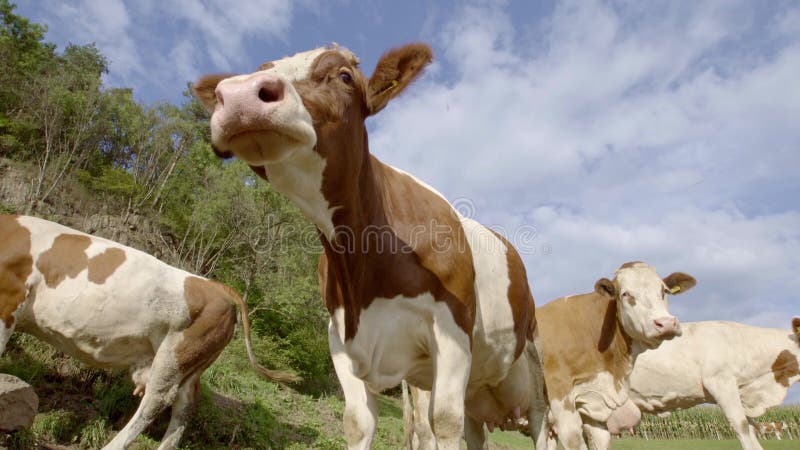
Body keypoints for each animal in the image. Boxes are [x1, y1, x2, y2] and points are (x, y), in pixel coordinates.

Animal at [0, 214, 297, 450]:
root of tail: (218, 287)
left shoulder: (9, 297)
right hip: (191, 360)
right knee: (184, 405)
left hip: (174, 354)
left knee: (157, 400)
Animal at [192, 43, 546, 449]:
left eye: (345, 76)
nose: (239, 95)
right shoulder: (340, 337)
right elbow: (358, 423)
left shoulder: (452, 330)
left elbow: (443, 421)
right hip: (475, 391)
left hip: (538, 368)